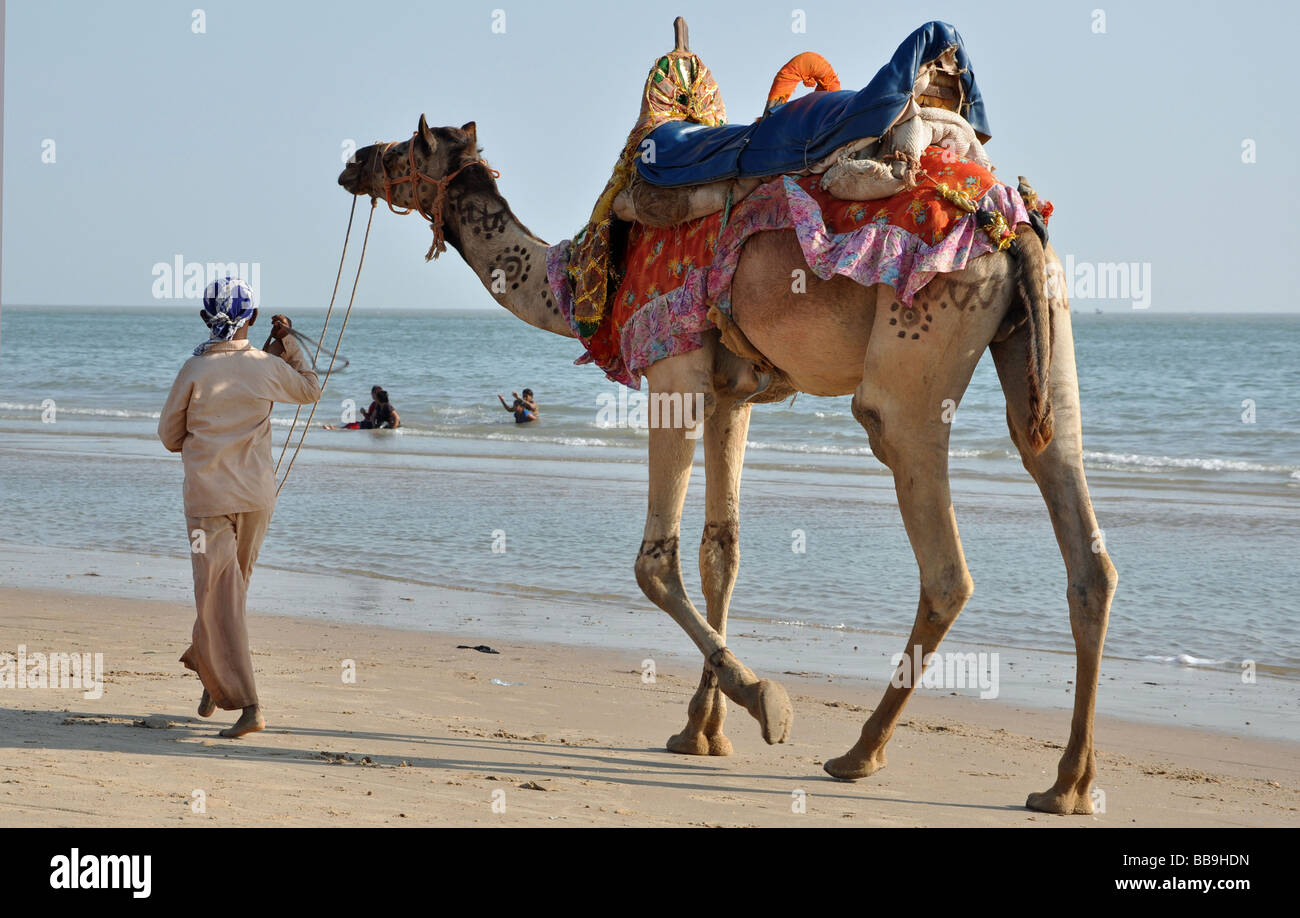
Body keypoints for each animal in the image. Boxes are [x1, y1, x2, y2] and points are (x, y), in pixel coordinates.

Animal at [335, 110, 1118, 811]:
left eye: (406, 145)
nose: (354, 160)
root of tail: (1012, 227)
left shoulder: (672, 368)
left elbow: (655, 561)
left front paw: (762, 701)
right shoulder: (730, 394)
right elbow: (722, 550)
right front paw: (701, 732)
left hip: (916, 356)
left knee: (943, 560)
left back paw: (859, 753)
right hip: (1039, 333)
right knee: (1075, 520)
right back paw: (1066, 786)